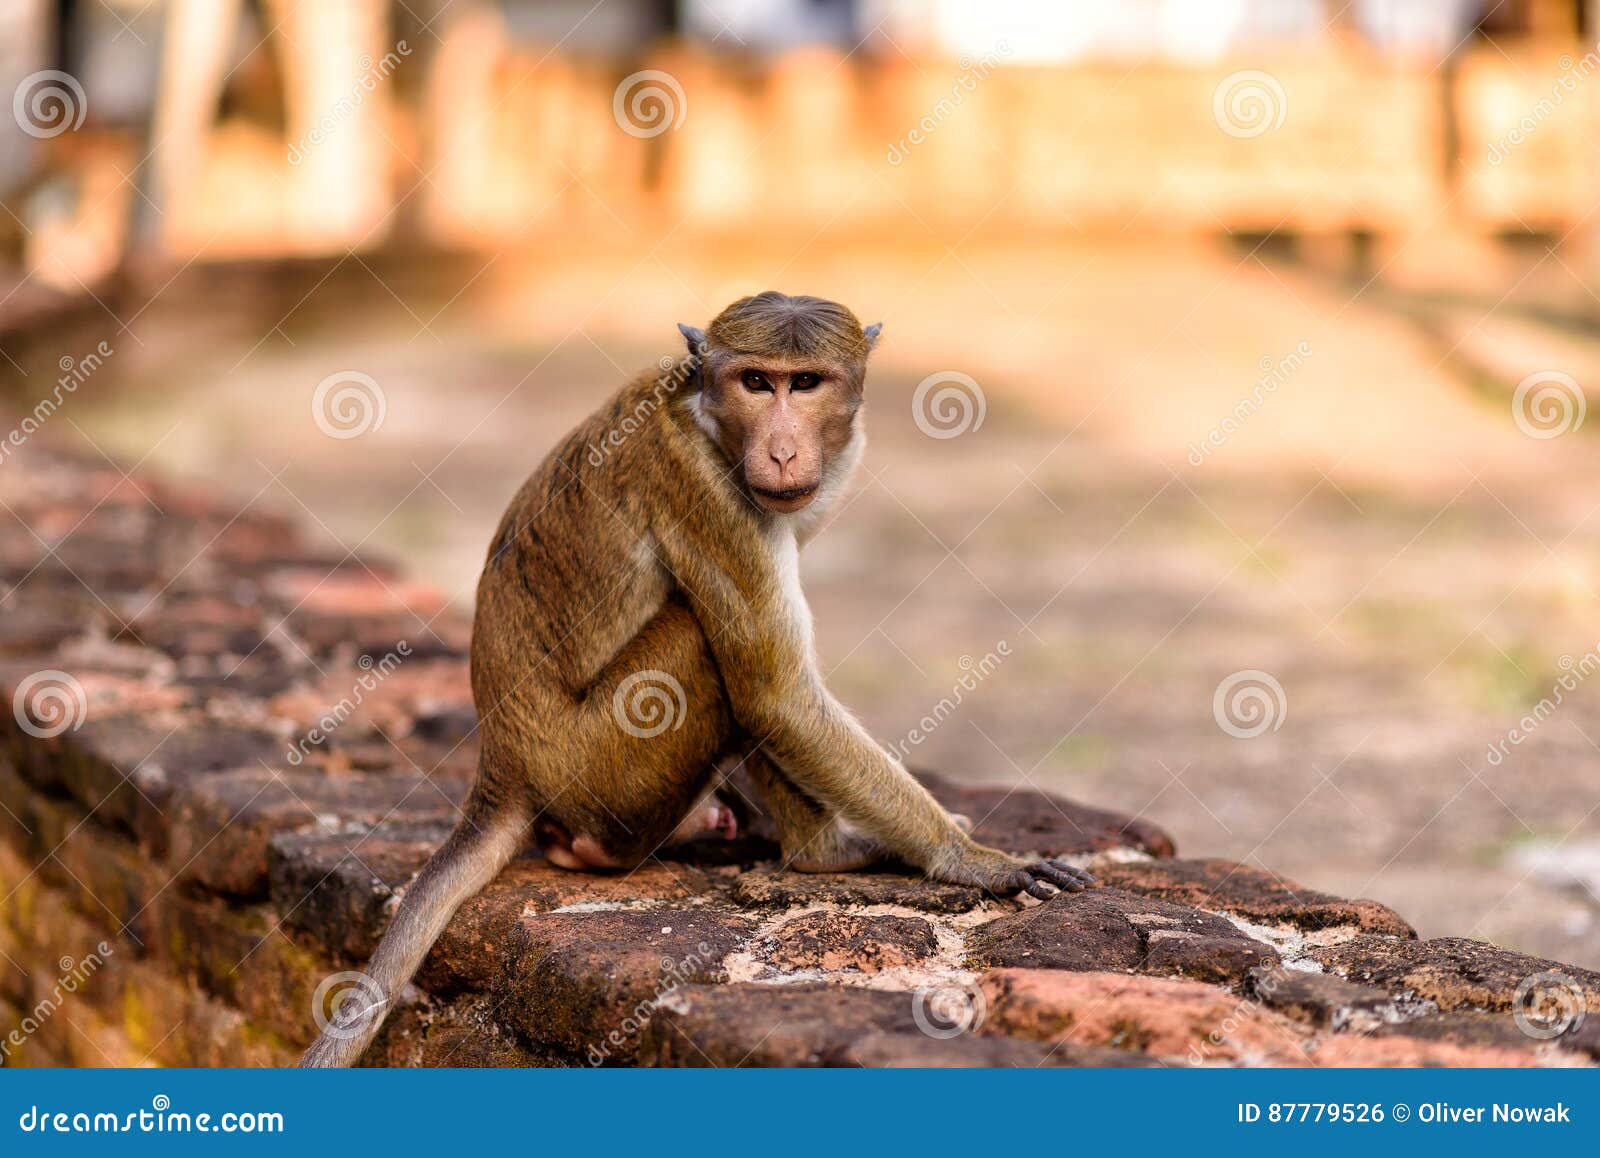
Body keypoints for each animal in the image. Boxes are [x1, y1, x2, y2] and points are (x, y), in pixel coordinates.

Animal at [297, 292, 1093, 1067]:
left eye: (806, 382)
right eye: (756, 382)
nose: (781, 448)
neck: (708, 421)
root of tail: (500, 765)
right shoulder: (703, 487)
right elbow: (775, 695)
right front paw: (971, 861)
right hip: (597, 761)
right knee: (705, 645)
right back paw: (820, 853)